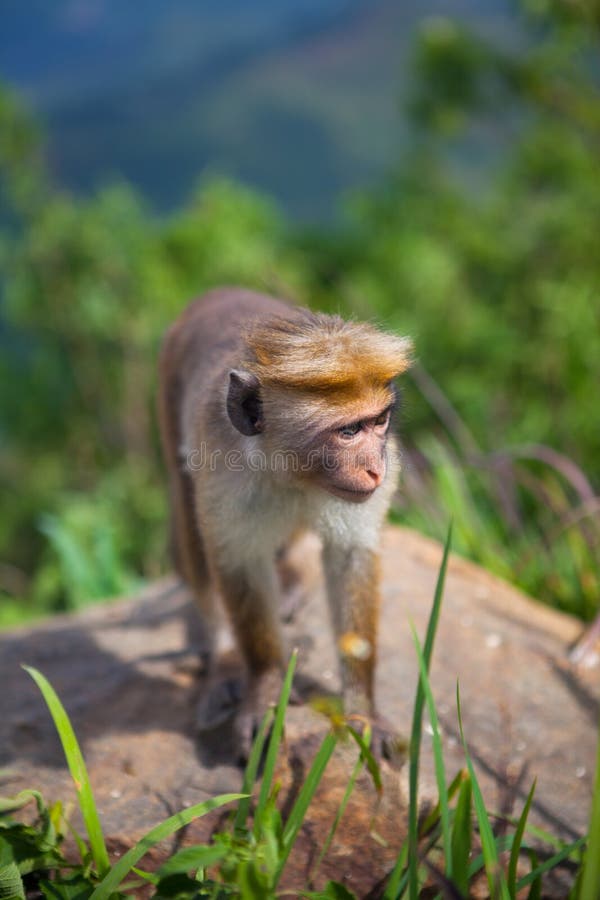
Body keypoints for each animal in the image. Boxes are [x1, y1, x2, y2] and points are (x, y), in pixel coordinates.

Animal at [158, 287, 412, 758]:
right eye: (349, 431)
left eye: (379, 421)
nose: (376, 470)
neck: (294, 472)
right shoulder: (224, 477)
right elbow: (237, 563)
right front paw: (264, 685)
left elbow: (350, 558)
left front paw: (363, 707)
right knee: (188, 513)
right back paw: (224, 663)